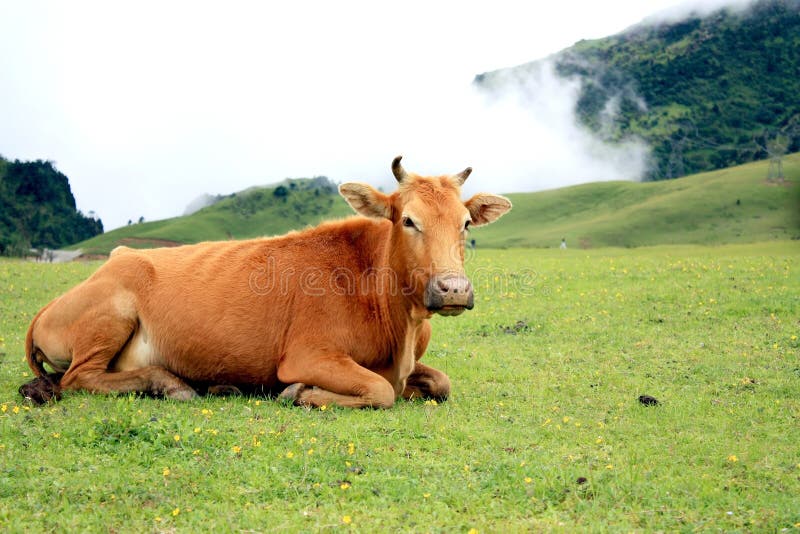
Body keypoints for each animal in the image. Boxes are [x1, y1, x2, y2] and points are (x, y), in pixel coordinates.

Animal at [19, 156, 511, 408]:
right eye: (408, 220)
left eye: (466, 223)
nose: (453, 289)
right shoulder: (308, 354)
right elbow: (379, 390)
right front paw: (299, 392)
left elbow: (440, 383)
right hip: (112, 312)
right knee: (79, 378)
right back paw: (168, 384)